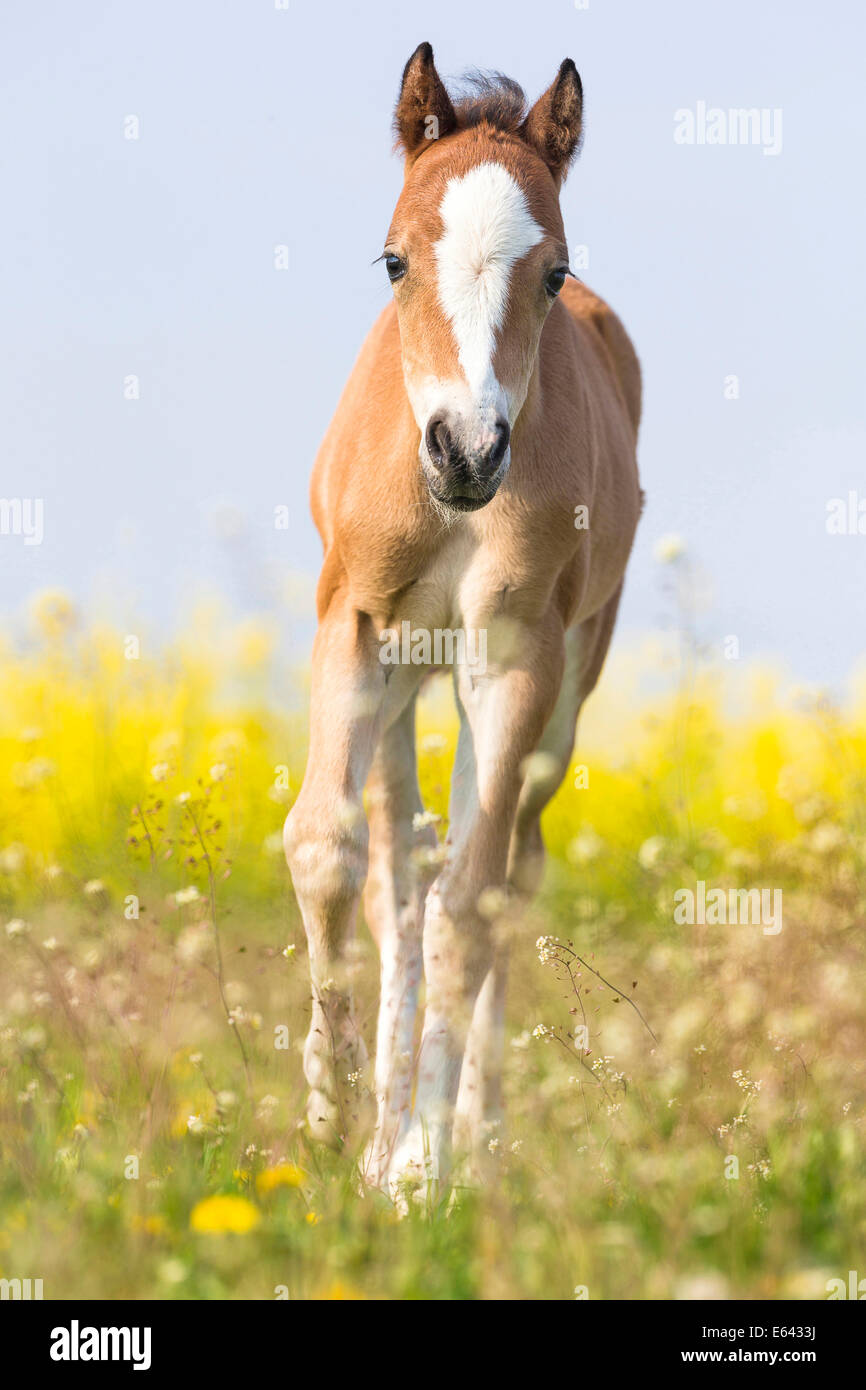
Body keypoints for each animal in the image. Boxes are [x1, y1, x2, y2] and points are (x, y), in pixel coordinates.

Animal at [284, 42, 642, 1197]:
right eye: (394, 261)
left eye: (552, 273)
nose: (465, 452)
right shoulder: (353, 627)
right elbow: (328, 850)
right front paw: (335, 1112)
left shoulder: (516, 663)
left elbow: (472, 902)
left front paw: (419, 1171)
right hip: (407, 682)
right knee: (402, 873)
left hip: (556, 696)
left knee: (500, 875)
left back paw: (468, 1141)